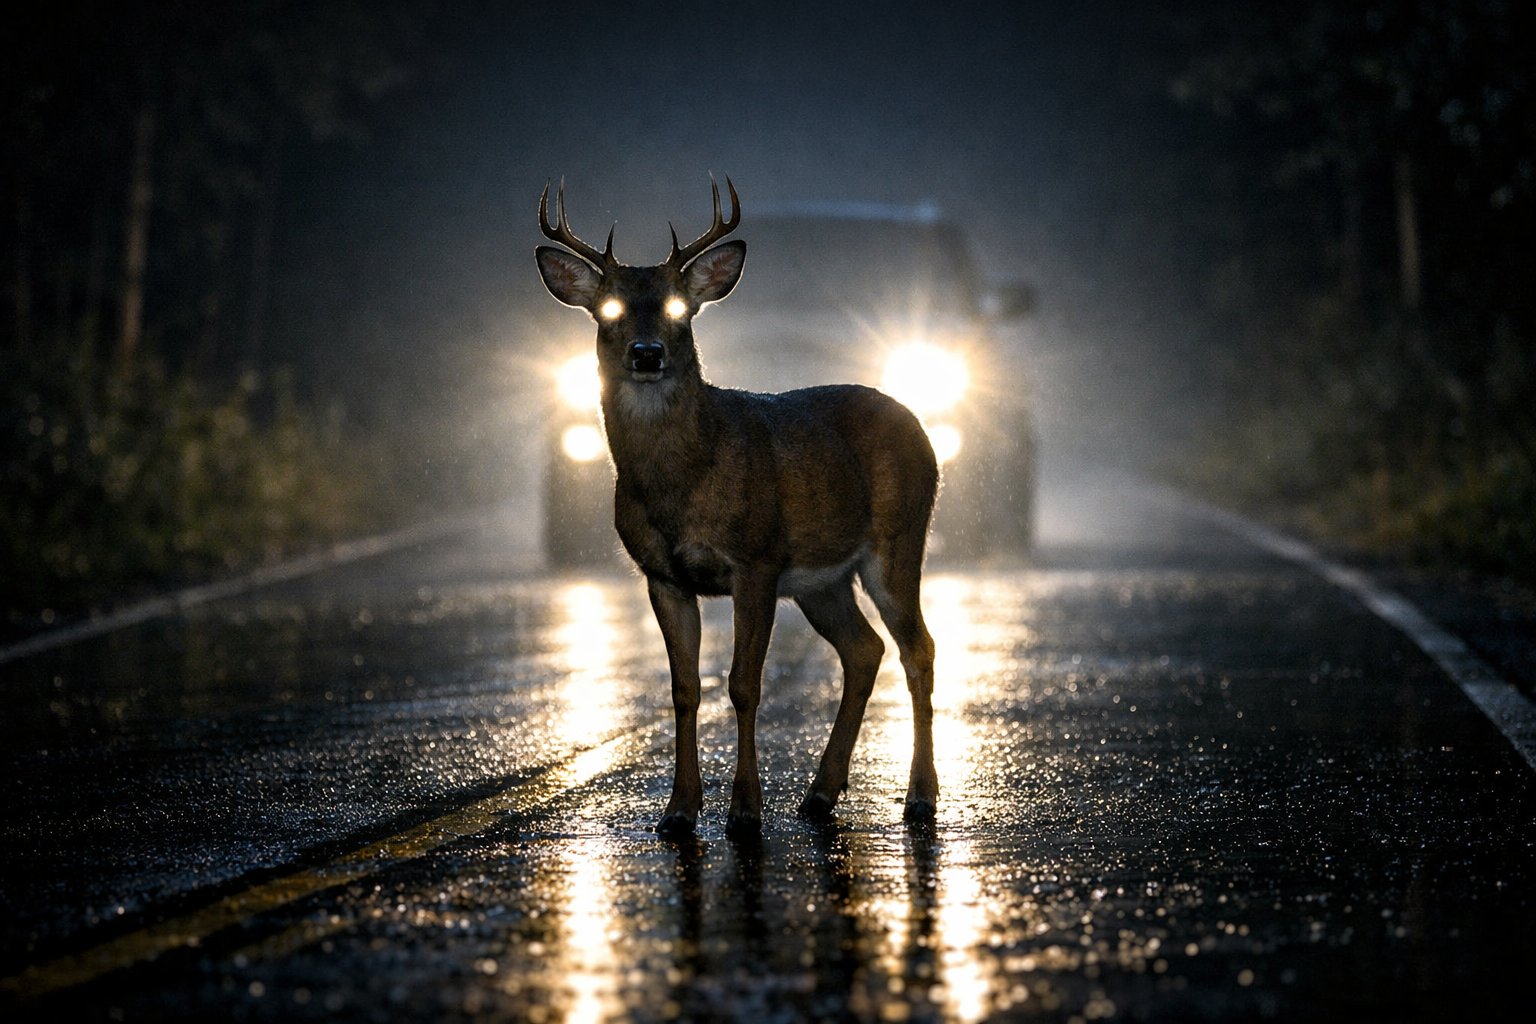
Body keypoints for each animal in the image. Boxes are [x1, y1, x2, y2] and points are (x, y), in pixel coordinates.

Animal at [534, 177, 940, 837]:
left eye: (678, 308)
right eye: (610, 309)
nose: (647, 354)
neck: (684, 481)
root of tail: (918, 425)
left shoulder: (756, 560)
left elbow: (744, 685)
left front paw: (745, 809)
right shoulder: (664, 575)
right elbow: (684, 690)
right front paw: (678, 811)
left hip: (899, 539)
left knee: (917, 649)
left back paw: (920, 797)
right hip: (821, 581)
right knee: (864, 650)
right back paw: (819, 795)